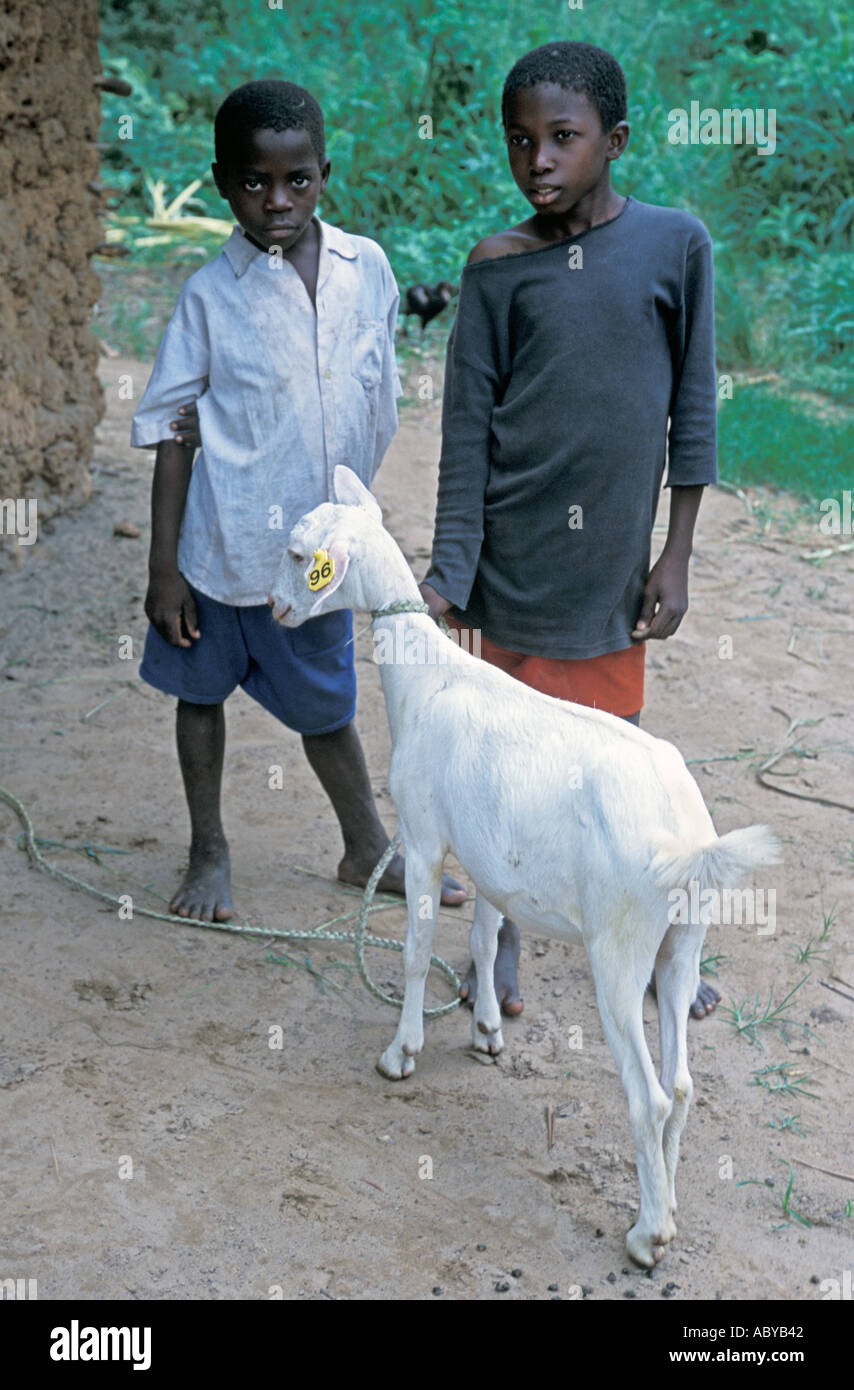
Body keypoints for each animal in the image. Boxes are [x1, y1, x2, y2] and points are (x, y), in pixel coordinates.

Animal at [269, 465, 781, 1267]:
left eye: (299, 556)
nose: (275, 607)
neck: (428, 676)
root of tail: (689, 841)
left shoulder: (424, 838)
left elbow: (416, 950)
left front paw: (402, 1053)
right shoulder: (490, 861)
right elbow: (483, 939)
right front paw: (485, 1032)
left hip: (620, 949)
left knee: (649, 1095)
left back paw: (646, 1235)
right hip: (681, 944)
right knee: (683, 1086)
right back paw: (669, 1208)